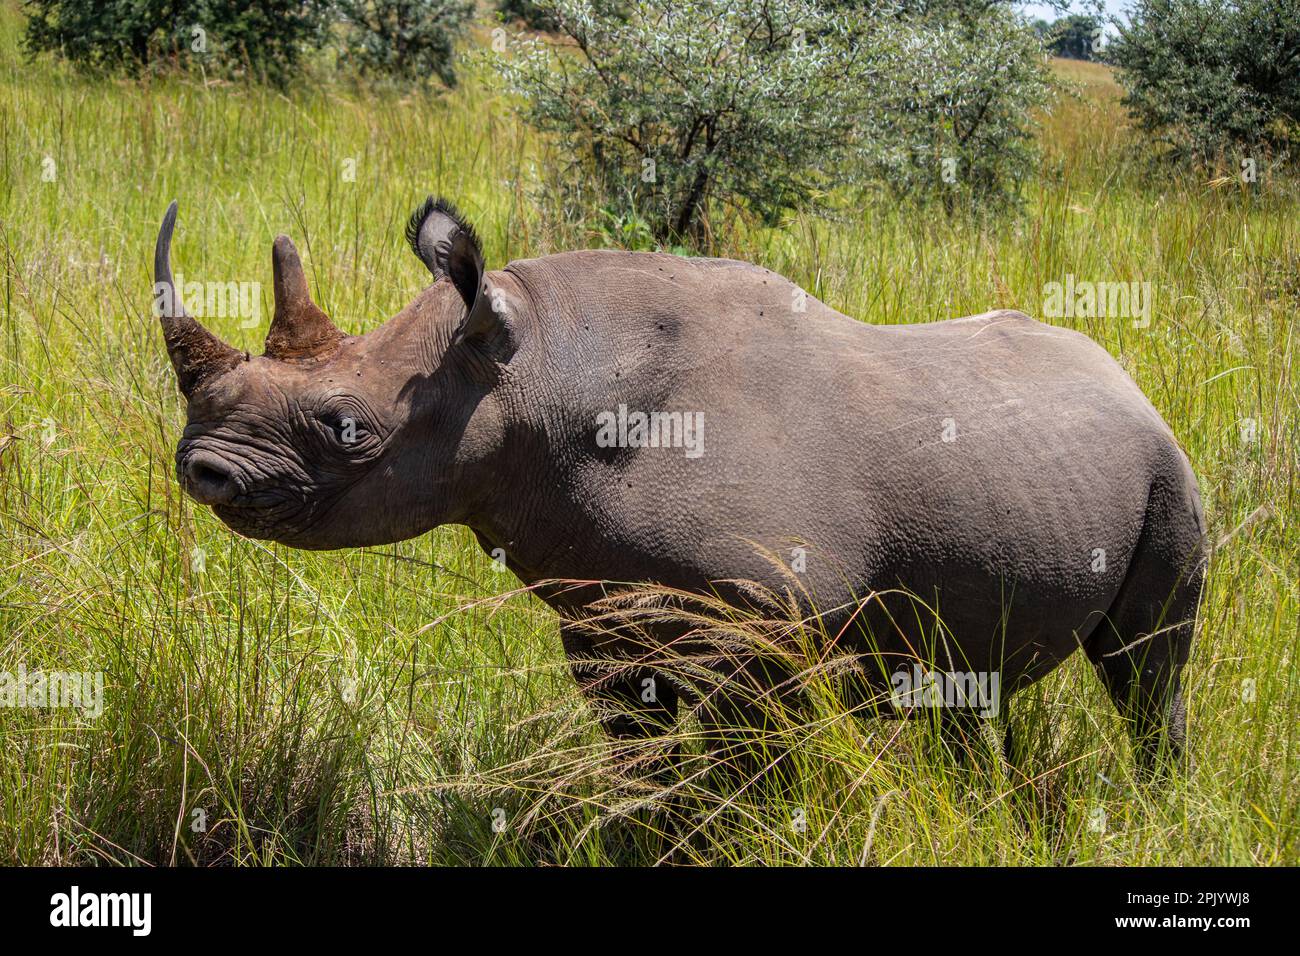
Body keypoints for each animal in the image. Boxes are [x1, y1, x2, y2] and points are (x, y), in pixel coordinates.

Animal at [153, 197, 1207, 776]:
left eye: (347, 428)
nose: (201, 468)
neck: (537, 370)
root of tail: (1128, 380)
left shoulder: (765, 629)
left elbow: (757, 785)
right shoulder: (600, 618)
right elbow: (644, 767)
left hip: (1169, 469)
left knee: (1146, 670)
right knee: (971, 681)